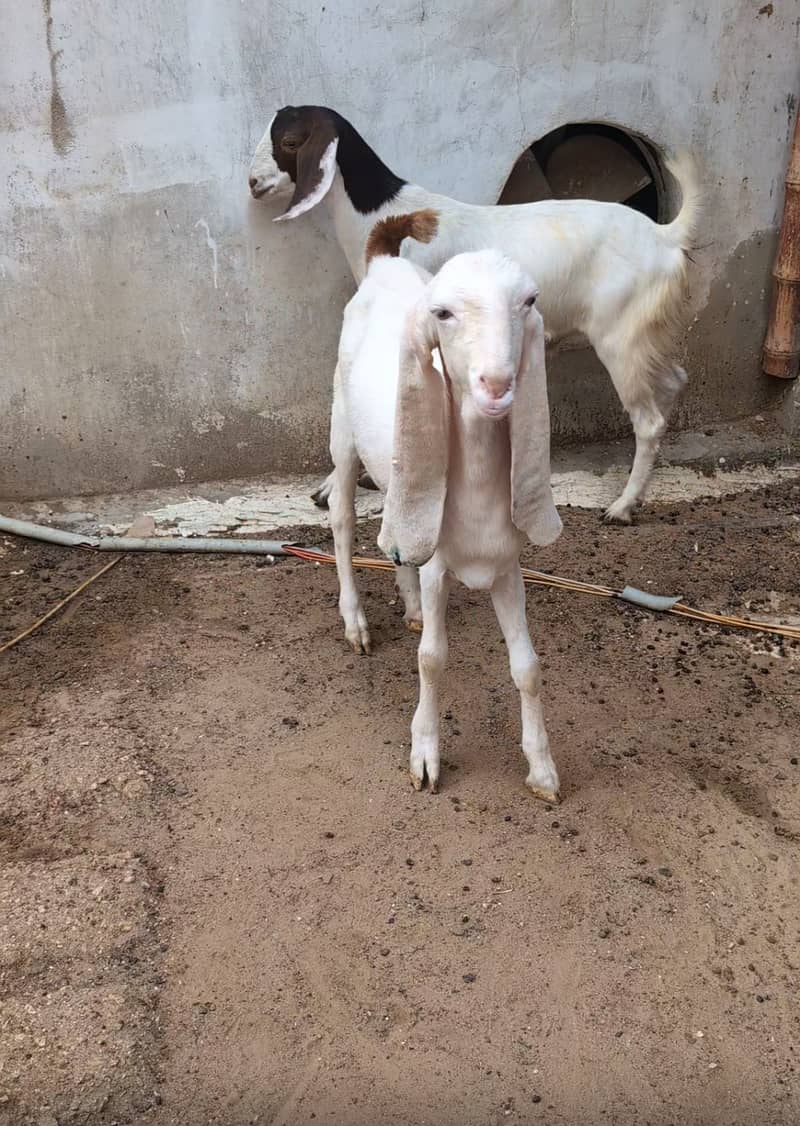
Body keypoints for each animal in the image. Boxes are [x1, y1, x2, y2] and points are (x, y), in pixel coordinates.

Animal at [250, 105, 701, 524]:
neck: (381, 213)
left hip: (620, 335)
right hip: (646, 333)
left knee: (648, 420)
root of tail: (665, 236)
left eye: (290, 141)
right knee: (675, 381)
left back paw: (622, 506)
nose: (254, 184)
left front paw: (335, 483)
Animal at [329, 209, 562, 799]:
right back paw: (355, 621)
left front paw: (542, 769)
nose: (497, 383)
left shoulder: (506, 565)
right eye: (443, 313)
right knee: (342, 517)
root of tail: (383, 259)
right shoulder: (439, 565)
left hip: (403, 473)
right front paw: (426, 755)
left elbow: (527, 665)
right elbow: (432, 660)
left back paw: (409, 607)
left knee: (395, 531)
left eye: (529, 300)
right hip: (341, 426)